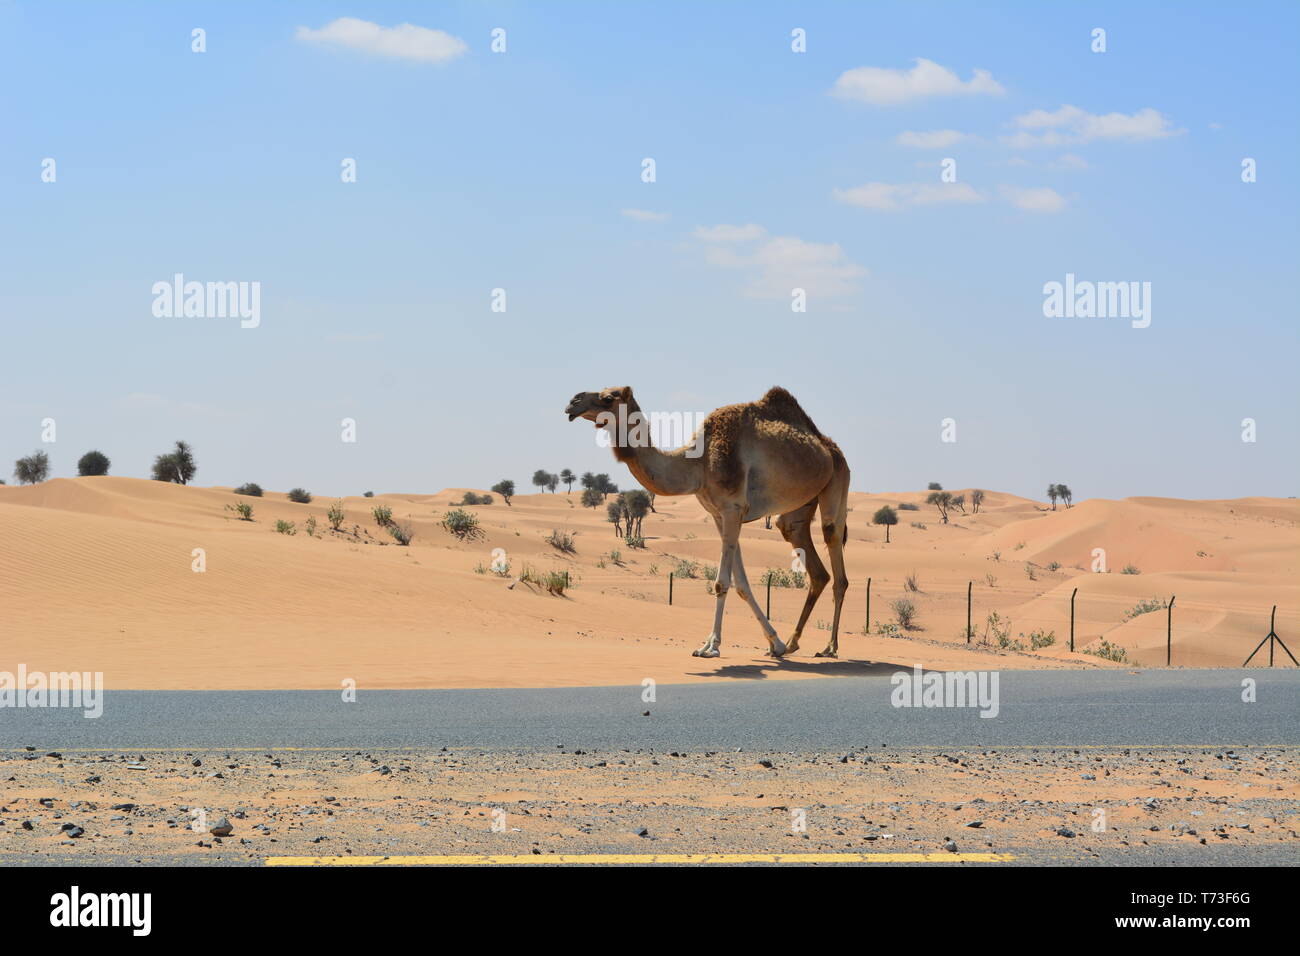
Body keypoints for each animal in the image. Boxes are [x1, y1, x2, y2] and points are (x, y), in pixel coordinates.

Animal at [564, 386, 851, 658]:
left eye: (608, 397)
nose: (572, 402)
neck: (698, 464)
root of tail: (830, 447)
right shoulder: (719, 514)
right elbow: (741, 584)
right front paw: (775, 644)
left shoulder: (733, 508)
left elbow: (722, 582)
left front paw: (710, 646)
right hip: (800, 505)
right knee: (808, 556)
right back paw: (792, 643)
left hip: (838, 478)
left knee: (834, 547)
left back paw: (830, 647)